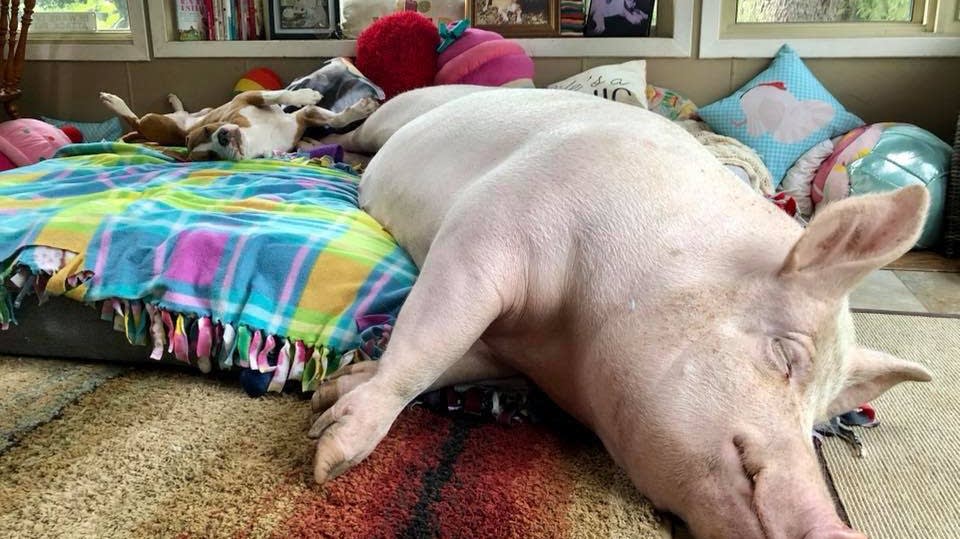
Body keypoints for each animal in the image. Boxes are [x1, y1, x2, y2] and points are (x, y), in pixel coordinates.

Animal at [308, 86, 932, 538]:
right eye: (784, 357)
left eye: (820, 419)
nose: (839, 530)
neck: (563, 347)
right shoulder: (488, 226)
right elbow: (431, 340)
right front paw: (327, 454)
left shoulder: (516, 354)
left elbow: (457, 357)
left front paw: (332, 390)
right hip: (397, 116)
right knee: (350, 126)